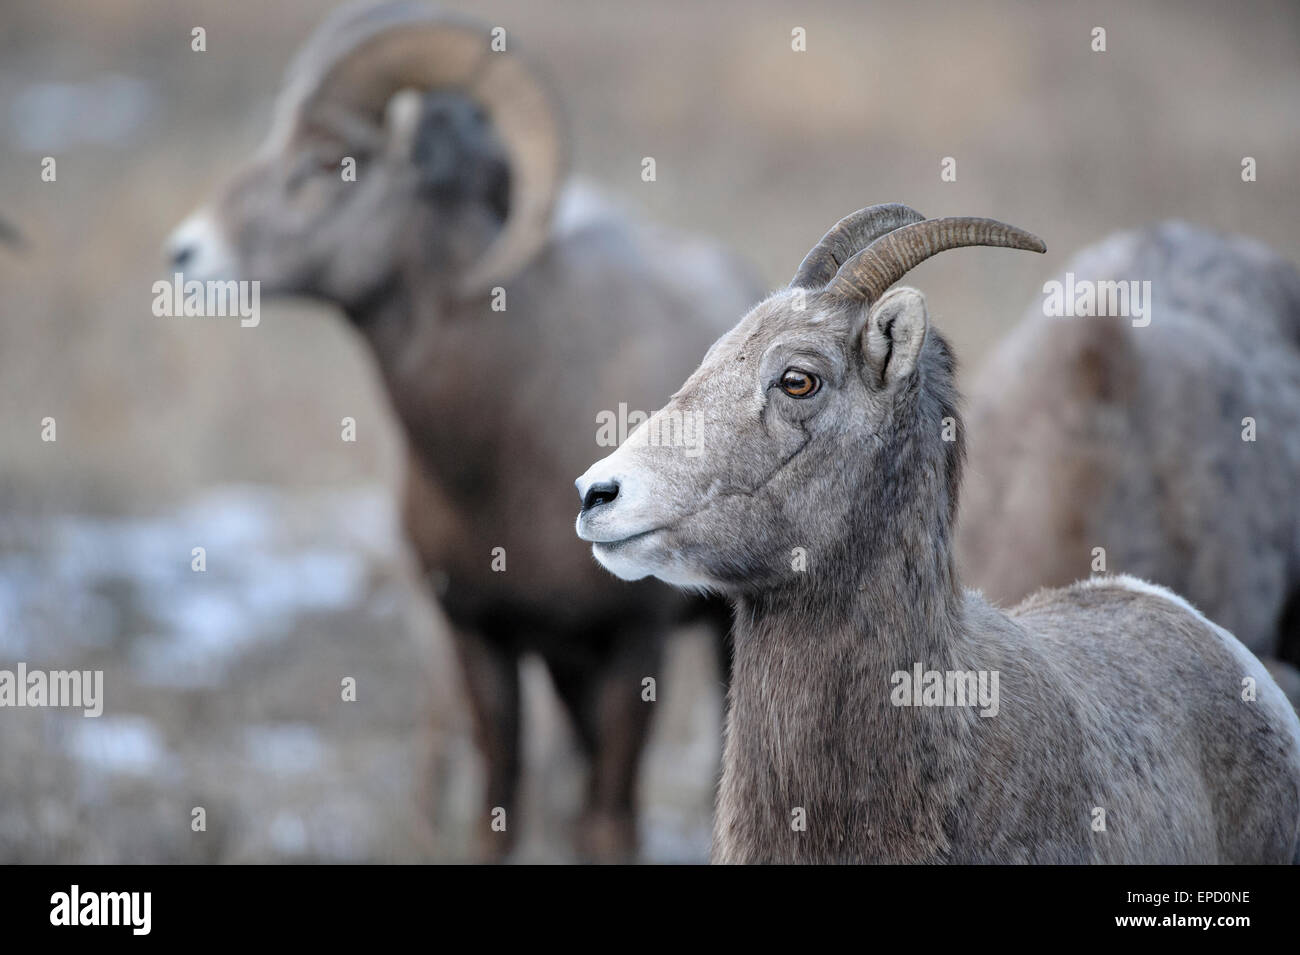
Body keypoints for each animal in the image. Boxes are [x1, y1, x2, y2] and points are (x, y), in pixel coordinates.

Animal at [166, 0, 759, 861]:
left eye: (330, 161)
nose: (184, 253)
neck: (506, 438)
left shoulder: (629, 650)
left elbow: (612, 824)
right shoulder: (484, 639)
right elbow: (498, 814)